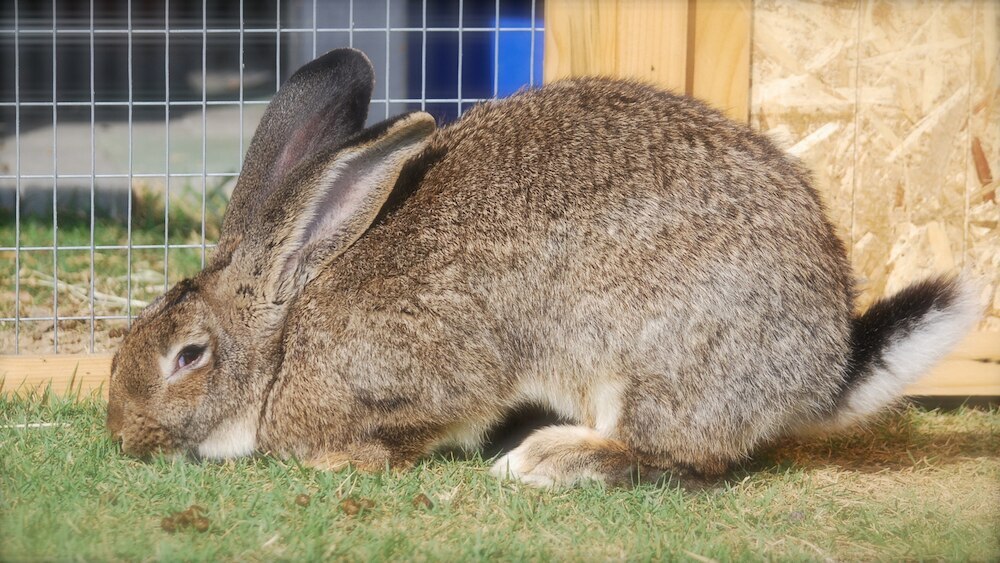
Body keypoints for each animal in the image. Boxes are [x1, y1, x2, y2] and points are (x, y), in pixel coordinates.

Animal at [106, 48, 981, 488]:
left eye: (188, 355)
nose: (122, 434)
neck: (285, 339)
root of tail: (823, 370)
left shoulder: (430, 372)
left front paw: (348, 457)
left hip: (652, 363)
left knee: (675, 456)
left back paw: (543, 460)